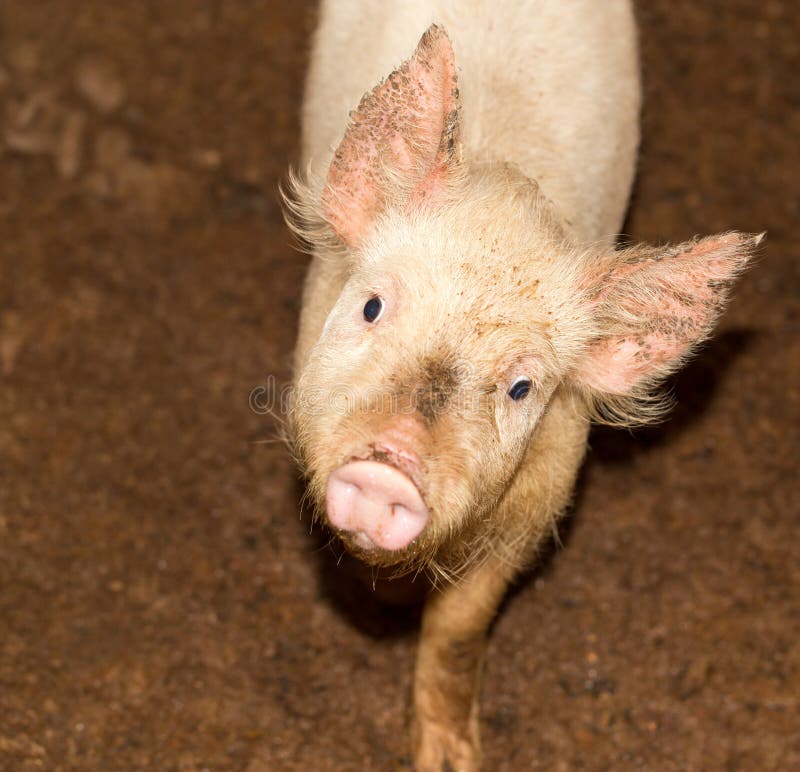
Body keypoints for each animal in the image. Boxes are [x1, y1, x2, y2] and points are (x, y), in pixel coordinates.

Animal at [285, 1, 761, 769]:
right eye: (372, 306)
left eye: (521, 387)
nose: (391, 463)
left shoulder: (539, 507)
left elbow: (459, 630)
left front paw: (451, 759)